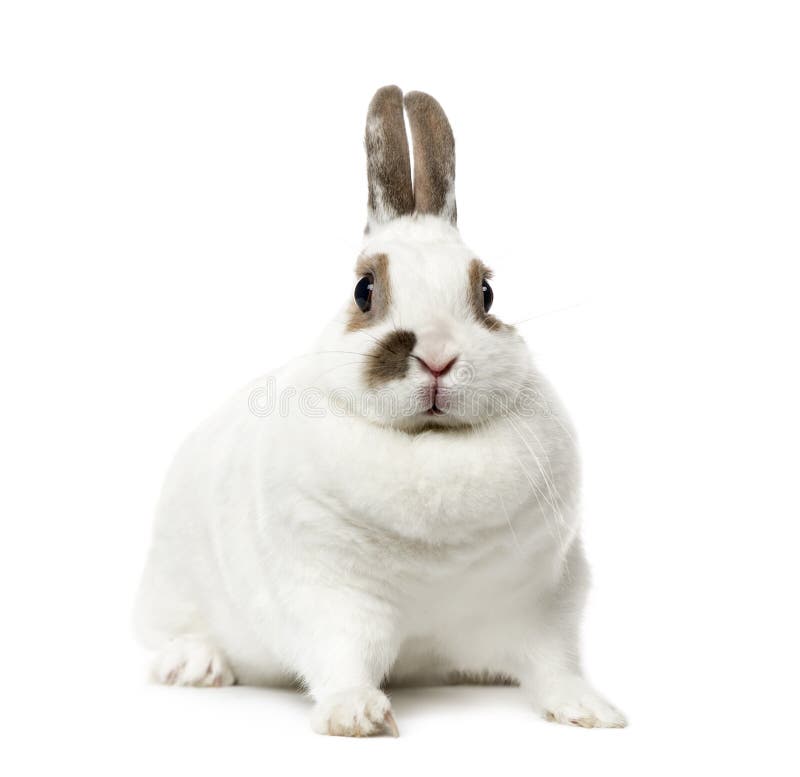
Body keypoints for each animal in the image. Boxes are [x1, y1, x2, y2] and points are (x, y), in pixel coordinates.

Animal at [134, 85, 627, 736]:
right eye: (364, 290)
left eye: (487, 293)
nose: (438, 358)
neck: (429, 446)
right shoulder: (329, 594)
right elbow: (342, 657)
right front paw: (357, 716)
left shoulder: (545, 599)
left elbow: (555, 663)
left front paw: (591, 710)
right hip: (170, 585)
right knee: (166, 633)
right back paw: (196, 664)